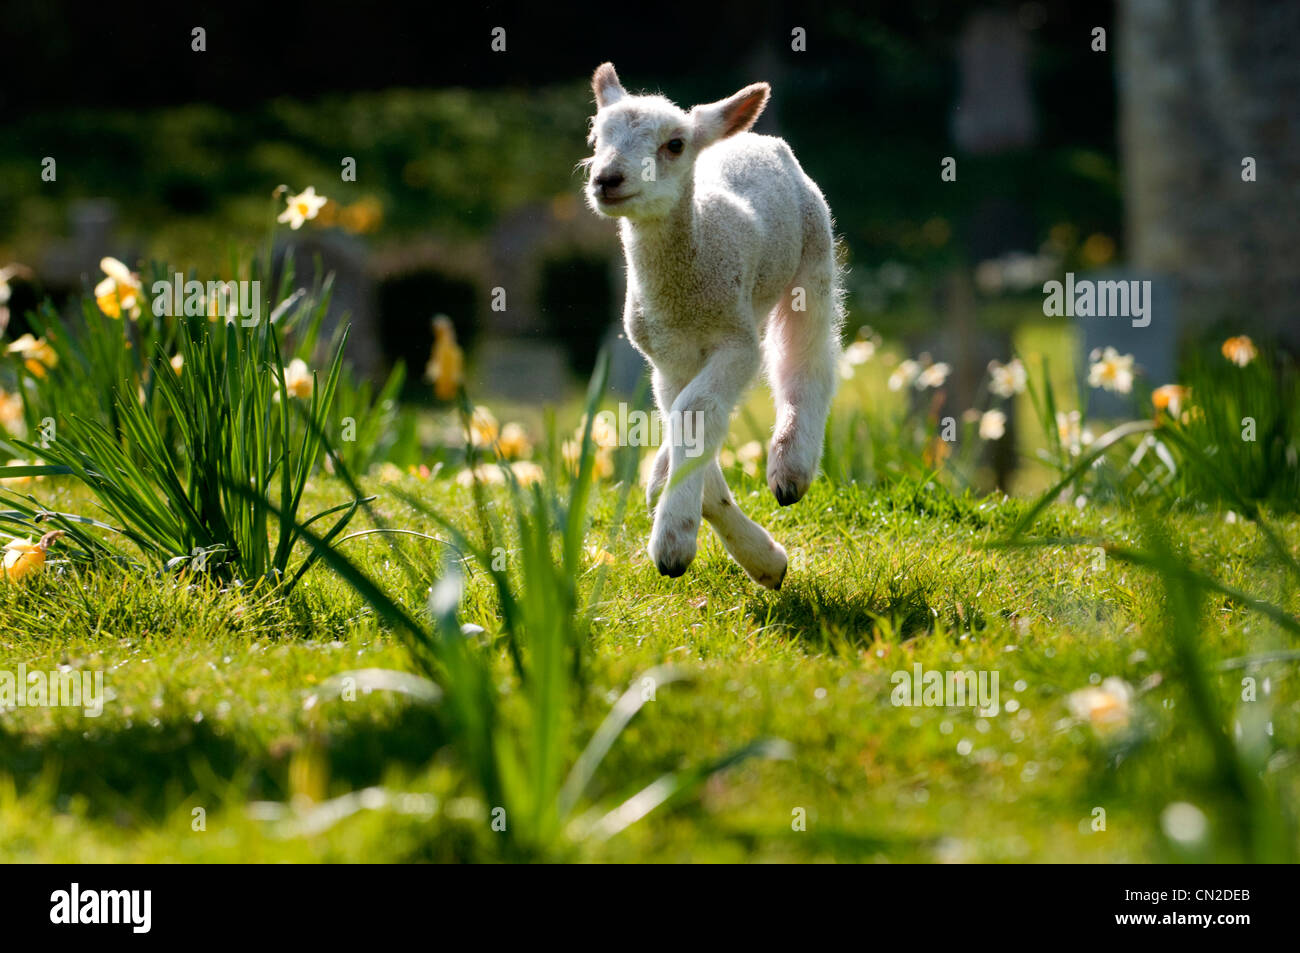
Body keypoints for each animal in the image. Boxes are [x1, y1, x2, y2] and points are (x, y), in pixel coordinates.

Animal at [583, 62, 843, 589]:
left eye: (674, 145)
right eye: (597, 137)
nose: (607, 179)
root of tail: (757, 138)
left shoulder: (736, 342)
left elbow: (696, 411)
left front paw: (673, 542)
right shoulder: (666, 356)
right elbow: (686, 419)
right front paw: (762, 558)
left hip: (813, 252)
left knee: (807, 358)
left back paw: (791, 468)